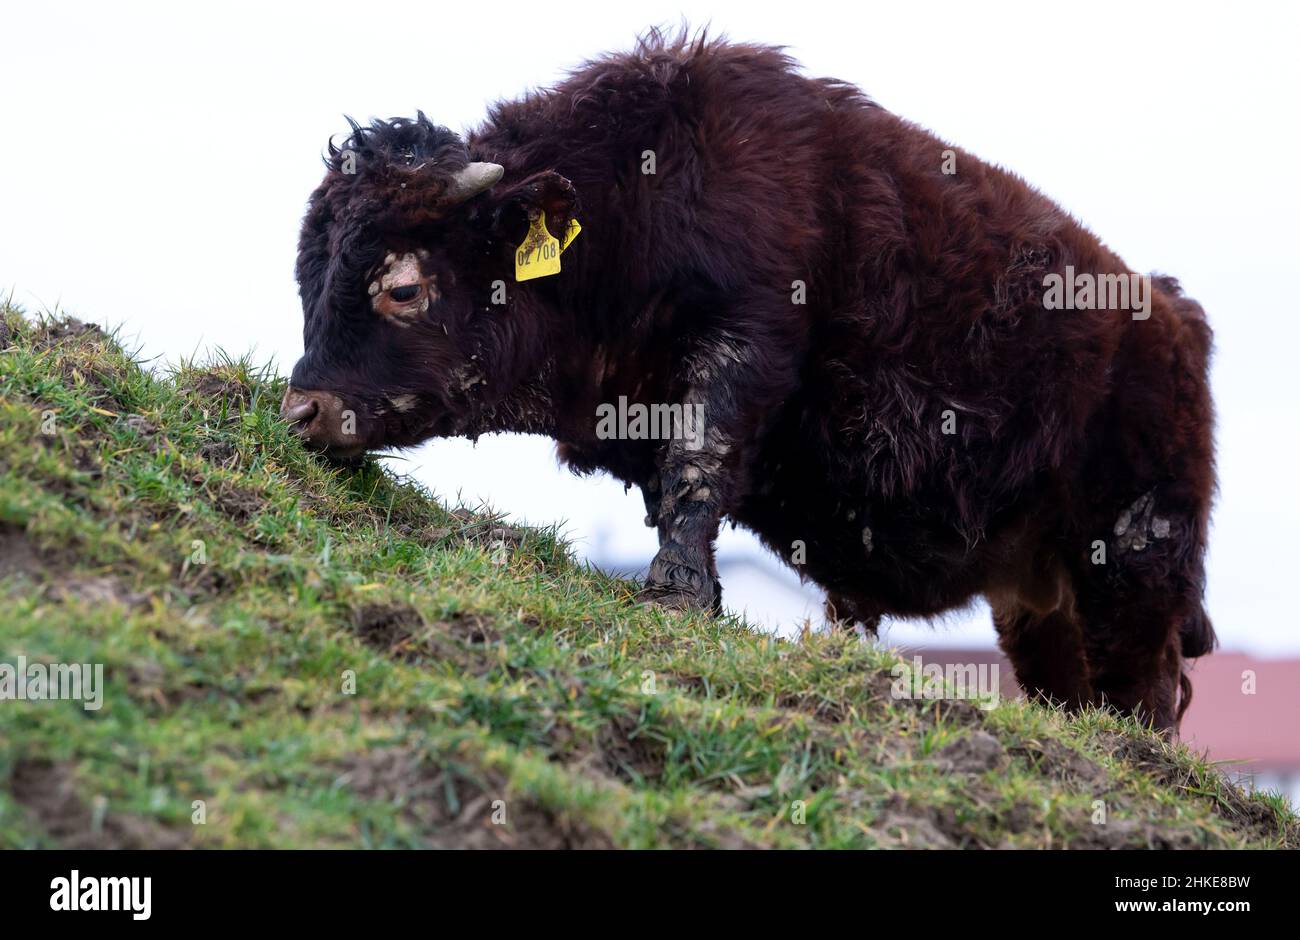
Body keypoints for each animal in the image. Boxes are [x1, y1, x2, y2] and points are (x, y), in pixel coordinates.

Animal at [283, 31, 1216, 733]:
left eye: (403, 286)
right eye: (307, 278)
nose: (304, 409)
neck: (642, 190)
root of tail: (1169, 312)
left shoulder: (742, 345)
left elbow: (698, 469)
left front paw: (677, 593)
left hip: (1129, 561)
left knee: (1149, 689)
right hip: (1041, 601)